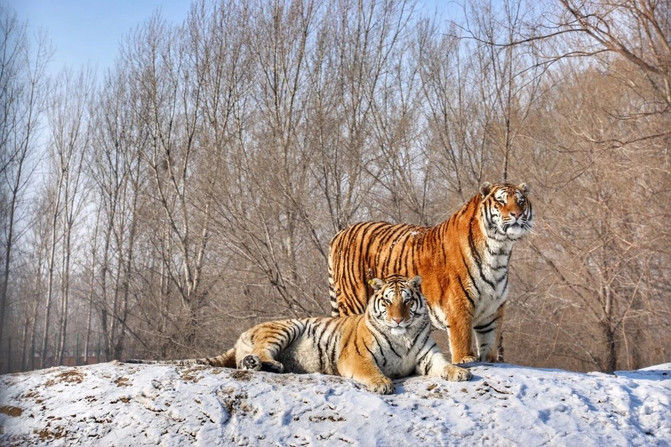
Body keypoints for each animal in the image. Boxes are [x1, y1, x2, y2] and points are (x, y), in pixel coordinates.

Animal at [127, 275, 471, 394]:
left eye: (407, 301)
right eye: (387, 302)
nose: (398, 319)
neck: (402, 336)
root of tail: (241, 334)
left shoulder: (427, 356)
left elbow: (444, 365)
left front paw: (459, 372)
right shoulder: (356, 356)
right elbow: (370, 370)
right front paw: (382, 383)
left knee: (248, 360)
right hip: (284, 328)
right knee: (259, 353)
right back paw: (269, 365)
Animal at [328, 182, 533, 365]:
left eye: (521, 201)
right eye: (501, 201)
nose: (517, 214)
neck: (498, 252)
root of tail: (339, 233)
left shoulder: (493, 310)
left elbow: (490, 343)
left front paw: (489, 360)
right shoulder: (458, 305)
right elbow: (462, 339)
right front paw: (466, 358)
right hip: (354, 302)